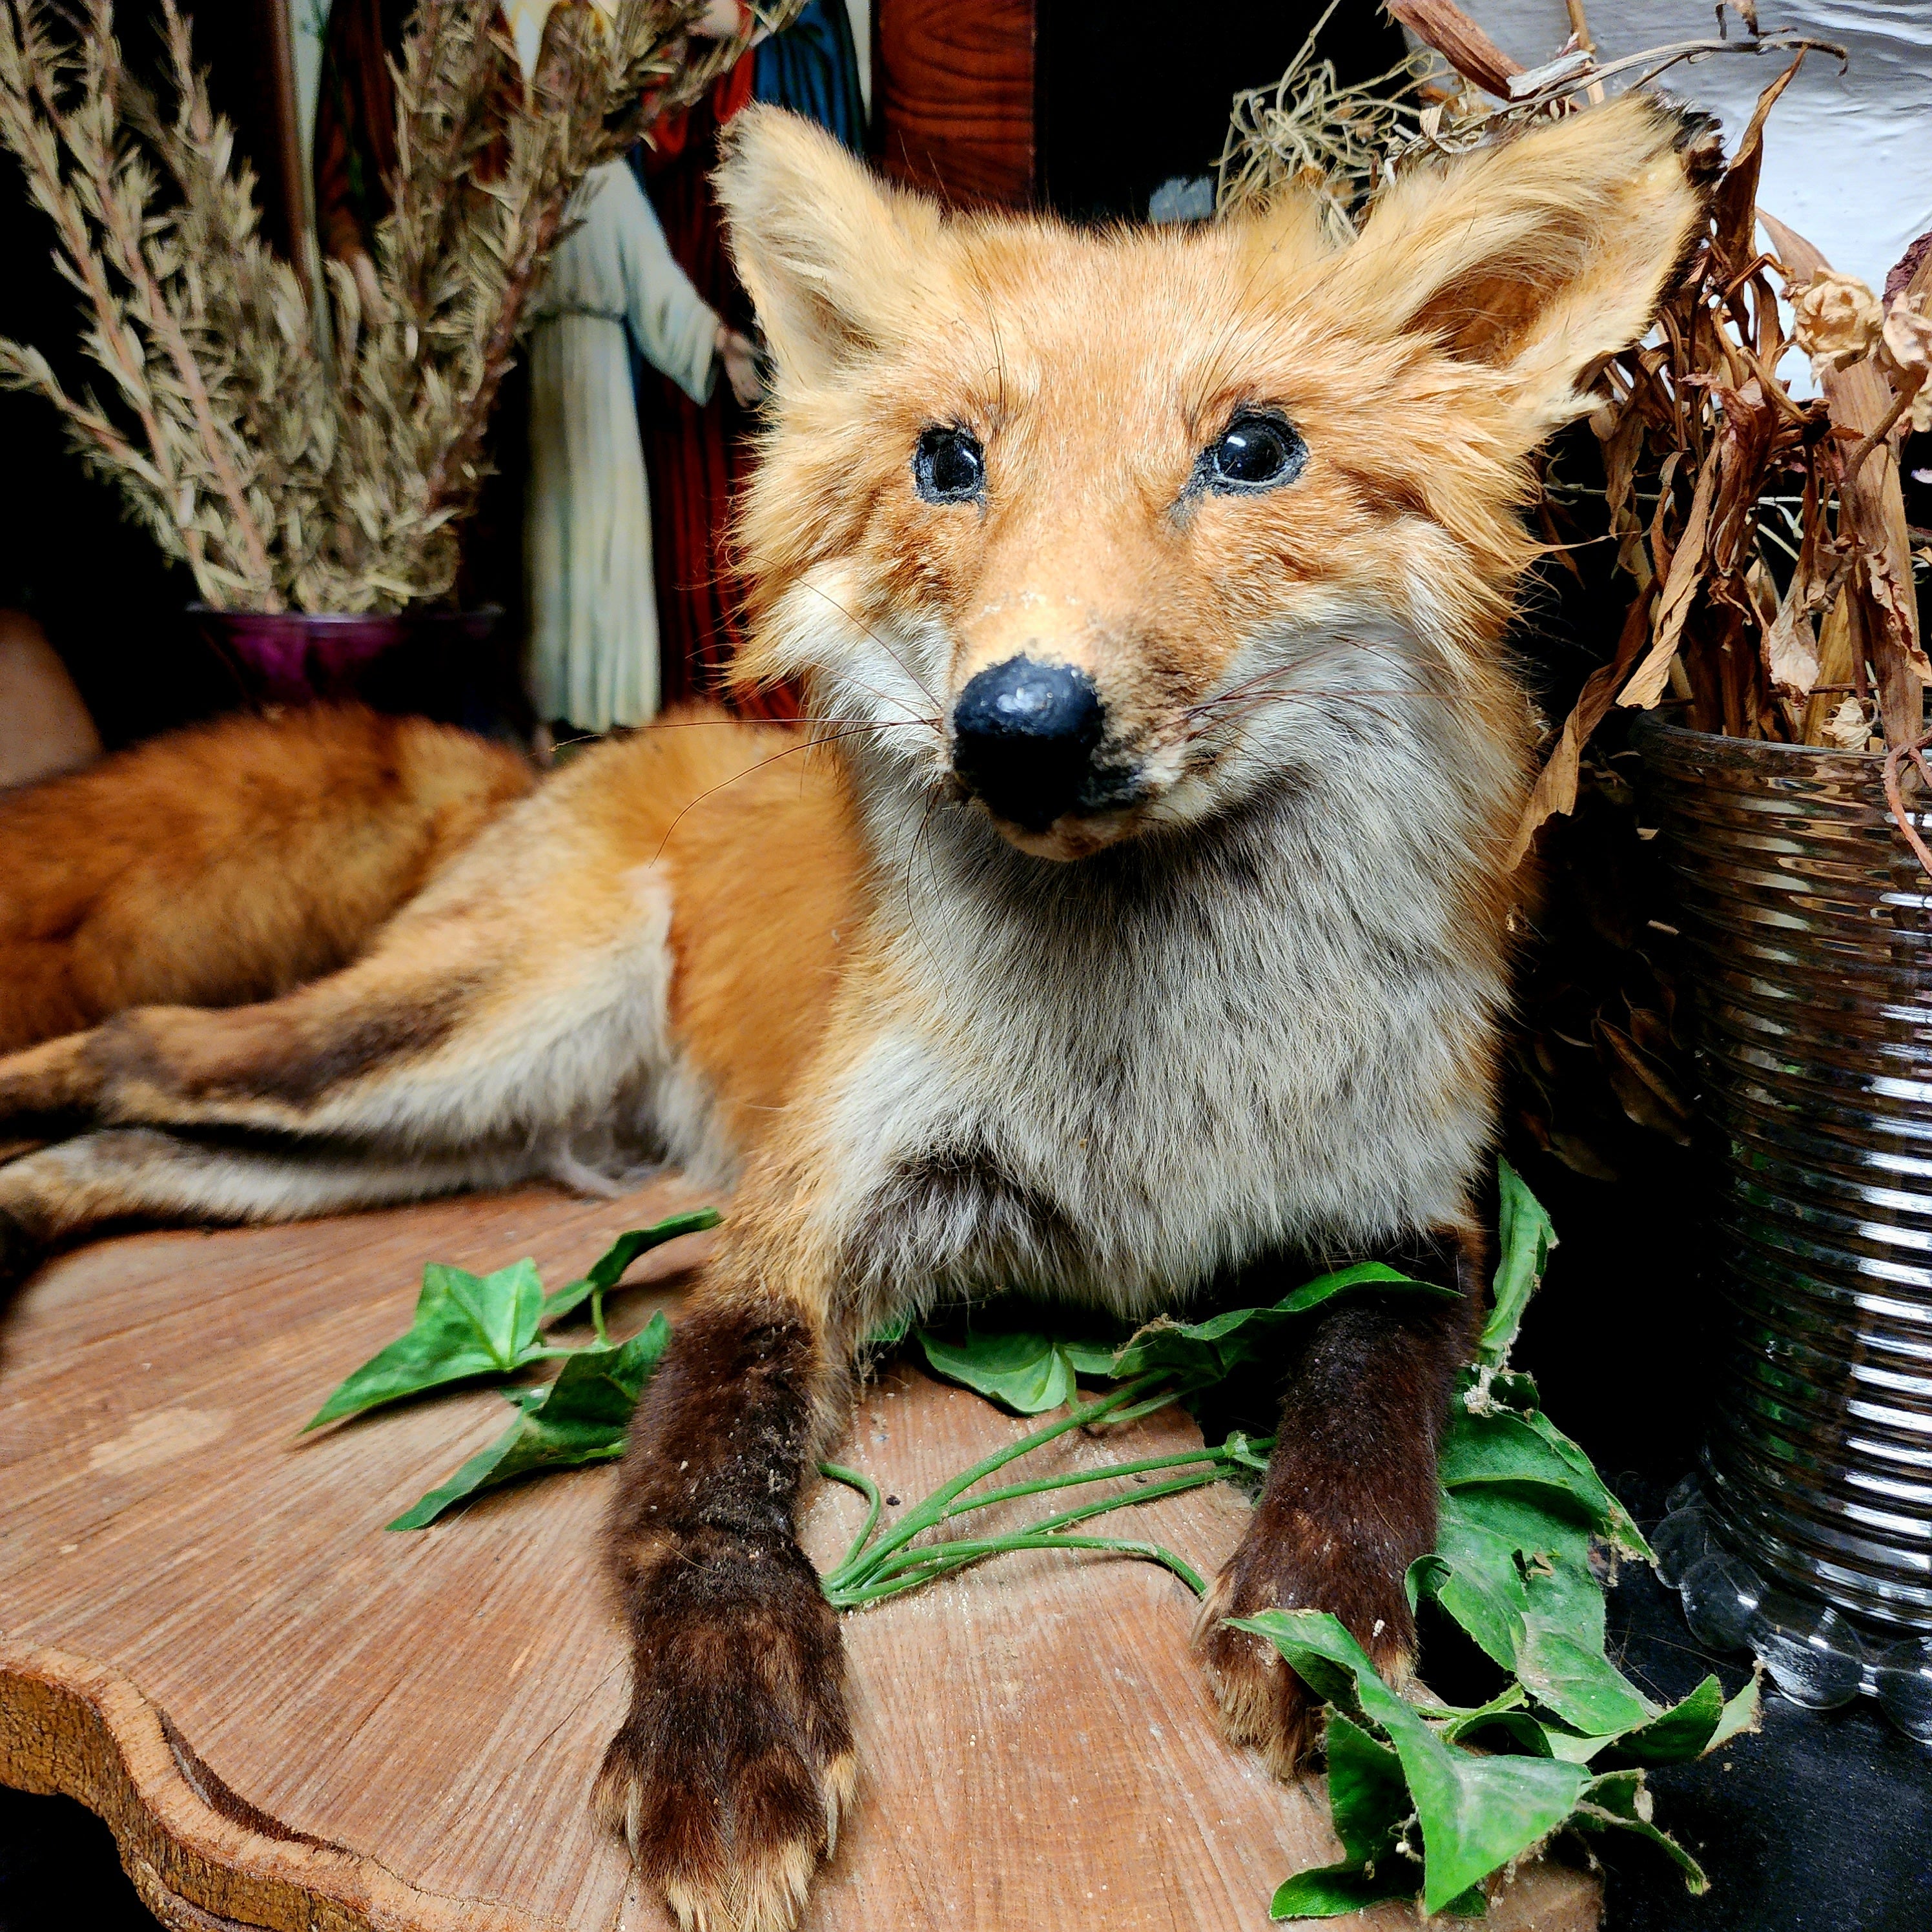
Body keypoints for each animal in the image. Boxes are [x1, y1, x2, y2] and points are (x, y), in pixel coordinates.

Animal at [0, 98, 1710, 1932]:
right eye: (947, 463)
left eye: (1254, 452)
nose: (1017, 722)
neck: (1152, 1073)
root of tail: (555, 755)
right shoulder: (801, 1216)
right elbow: (706, 1494)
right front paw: (725, 1726)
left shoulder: (1408, 1224)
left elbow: (1368, 1419)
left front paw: (1321, 1620)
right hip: (423, 1052)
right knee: (134, 1048)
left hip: (438, 1138)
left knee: (130, 1149)